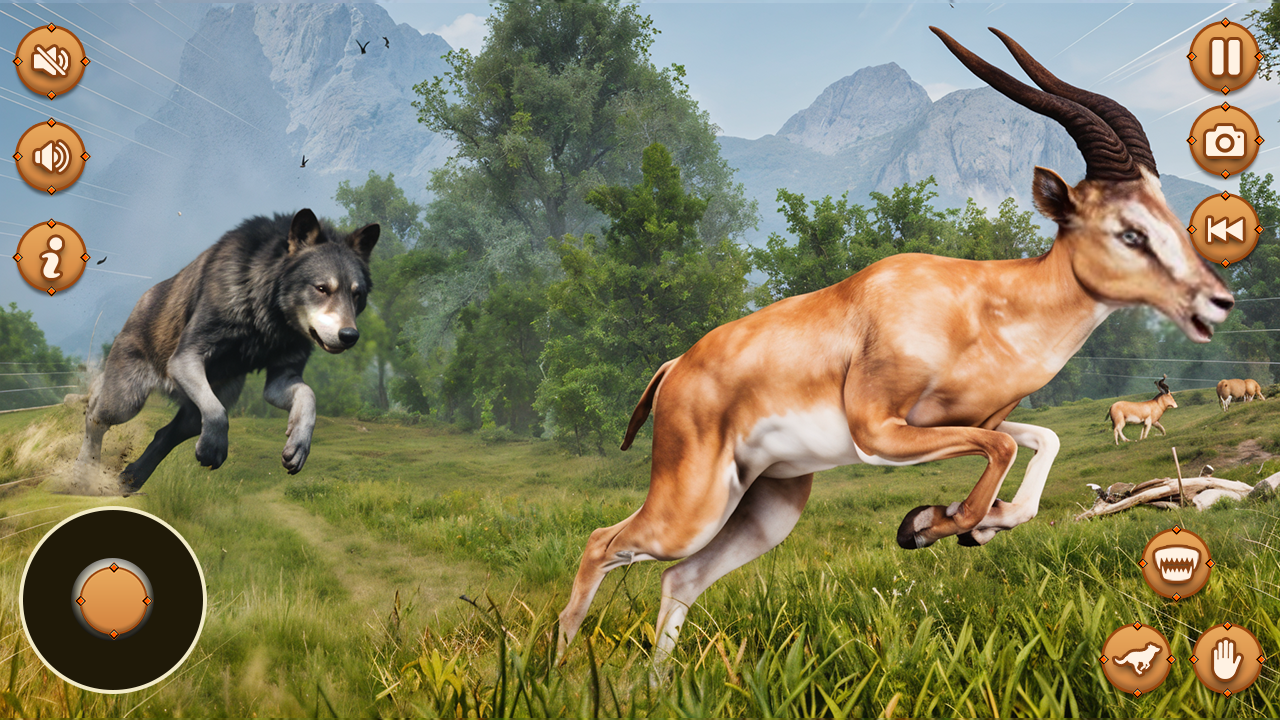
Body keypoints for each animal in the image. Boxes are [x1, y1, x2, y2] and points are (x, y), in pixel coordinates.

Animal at [74, 209, 379, 493]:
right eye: (322, 288)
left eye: (357, 294)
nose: (350, 336)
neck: (267, 318)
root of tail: (141, 299)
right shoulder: (186, 358)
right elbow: (218, 414)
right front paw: (214, 448)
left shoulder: (280, 380)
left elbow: (309, 396)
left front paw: (299, 445)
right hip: (126, 402)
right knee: (95, 414)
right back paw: (82, 471)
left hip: (196, 413)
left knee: (163, 434)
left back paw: (130, 480)